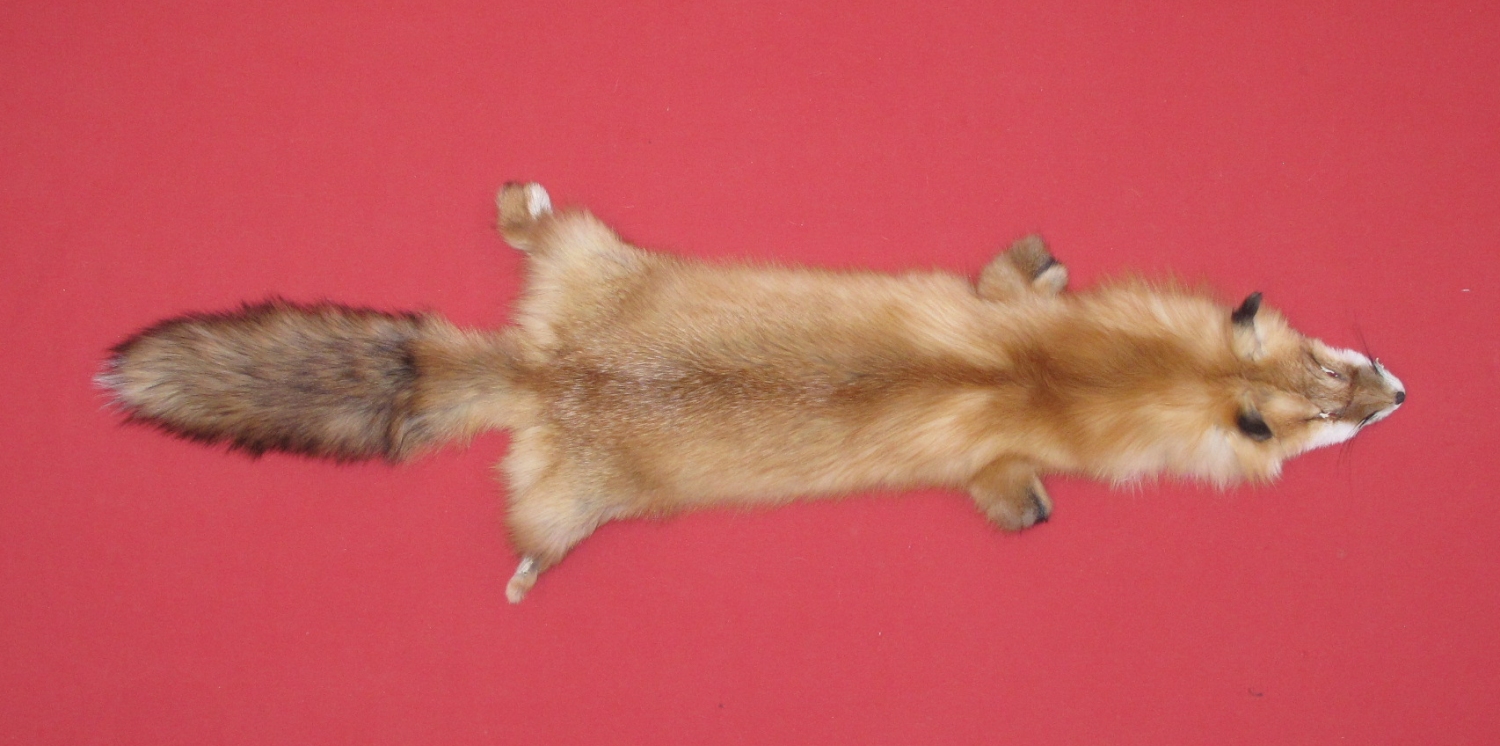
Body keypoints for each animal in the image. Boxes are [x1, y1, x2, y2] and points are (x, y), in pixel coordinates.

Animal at [98, 183, 1406, 602]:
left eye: (1338, 368)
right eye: (1329, 417)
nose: (1399, 389)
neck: (1057, 369)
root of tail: (540, 371)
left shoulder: (1005, 308)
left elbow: (1016, 270)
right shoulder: (1004, 439)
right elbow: (1015, 491)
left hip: (592, 257)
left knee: (539, 231)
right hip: (579, 491)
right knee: (536, 526)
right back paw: (524, 573)